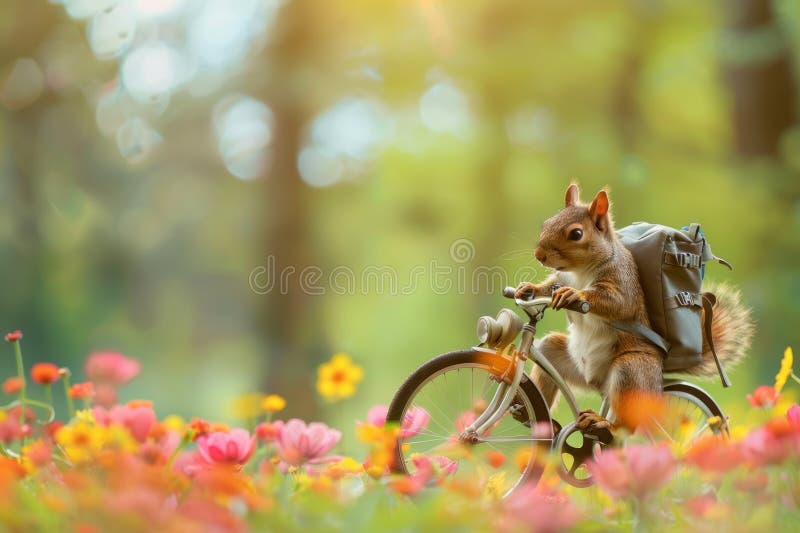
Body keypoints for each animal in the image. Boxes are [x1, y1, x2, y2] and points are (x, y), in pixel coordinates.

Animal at [515, 183, 753, 439]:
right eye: (547, 223)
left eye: (576, 234)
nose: (539, 255)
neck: (579, 271)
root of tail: (598, 384)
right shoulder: (562, 278)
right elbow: (551, 286)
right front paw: (530, 288)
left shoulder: (622, 278)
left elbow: (620, 303)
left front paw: (577, 295)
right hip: (563, 358)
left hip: (631, 369)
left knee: (627, 424)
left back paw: (606, 423)